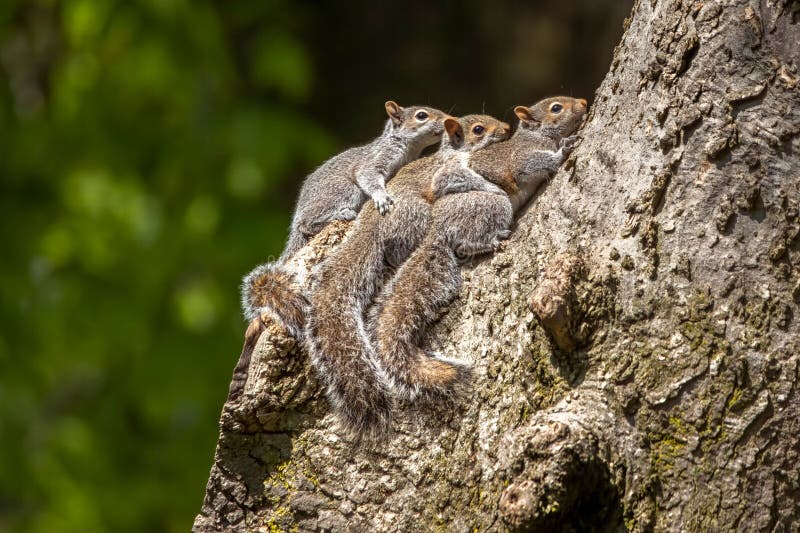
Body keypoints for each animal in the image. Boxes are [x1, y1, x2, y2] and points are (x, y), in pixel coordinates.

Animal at [240, 101, 450, 339]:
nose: (447, 120)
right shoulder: (374, 161)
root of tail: (296, 217)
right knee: (307, 224)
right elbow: (369, 178)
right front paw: (381, 197)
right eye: (421, 115)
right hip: (343, 190)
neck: (407, 147)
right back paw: (342, 214)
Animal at [304, 114, 511, 439]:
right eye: (478, 129)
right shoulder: (449, 170)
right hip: (417, 218)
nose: (507, 128)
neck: (452, 151)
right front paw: (495, 189)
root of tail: (371, 227)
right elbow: (457, 179)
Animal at [369, 96, 588, 402]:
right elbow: (528, 166)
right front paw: (564, 150)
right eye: (556, 108)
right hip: (492, 206)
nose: (584, 102)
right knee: (465, 242)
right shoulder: (522, 157)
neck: (536, 135)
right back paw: (492, 241)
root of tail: (436, 230)